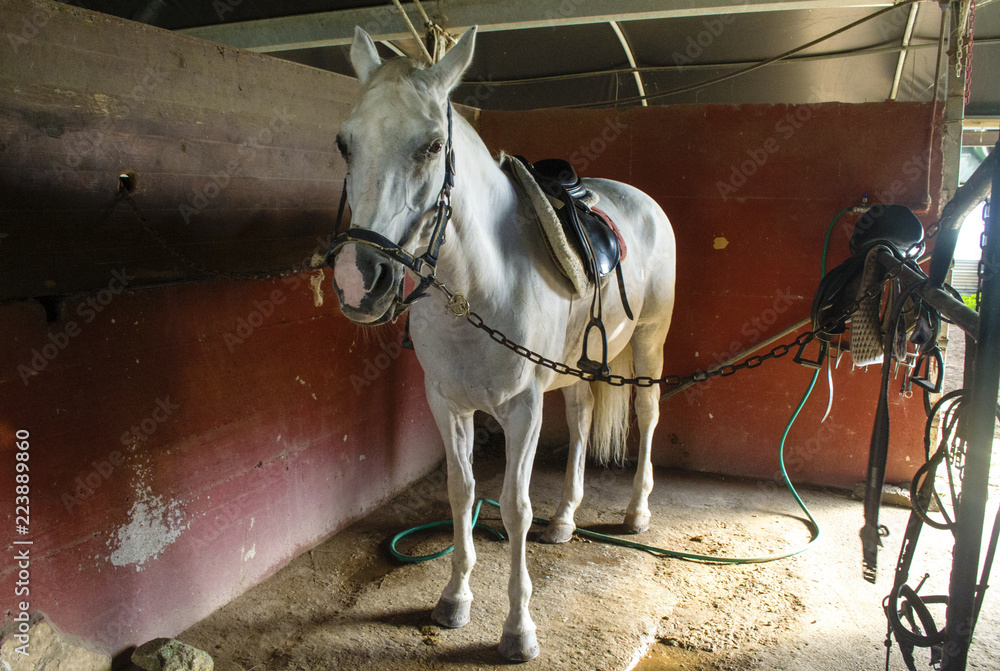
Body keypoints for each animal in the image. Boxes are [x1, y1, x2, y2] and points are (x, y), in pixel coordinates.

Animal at [329, 26, 676, 662]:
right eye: (345, 143)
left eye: (433, 146)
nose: (357, 280)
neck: (475, 289)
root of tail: (640, 201)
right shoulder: (448, 404)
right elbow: (461, 493)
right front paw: (454, 599)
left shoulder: (522, 409)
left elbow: (514, 508)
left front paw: (518, 629)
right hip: (575, 367)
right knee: (582, 416)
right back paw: (565, 519)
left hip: (647, 344)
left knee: (646, 412)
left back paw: (637, 511)